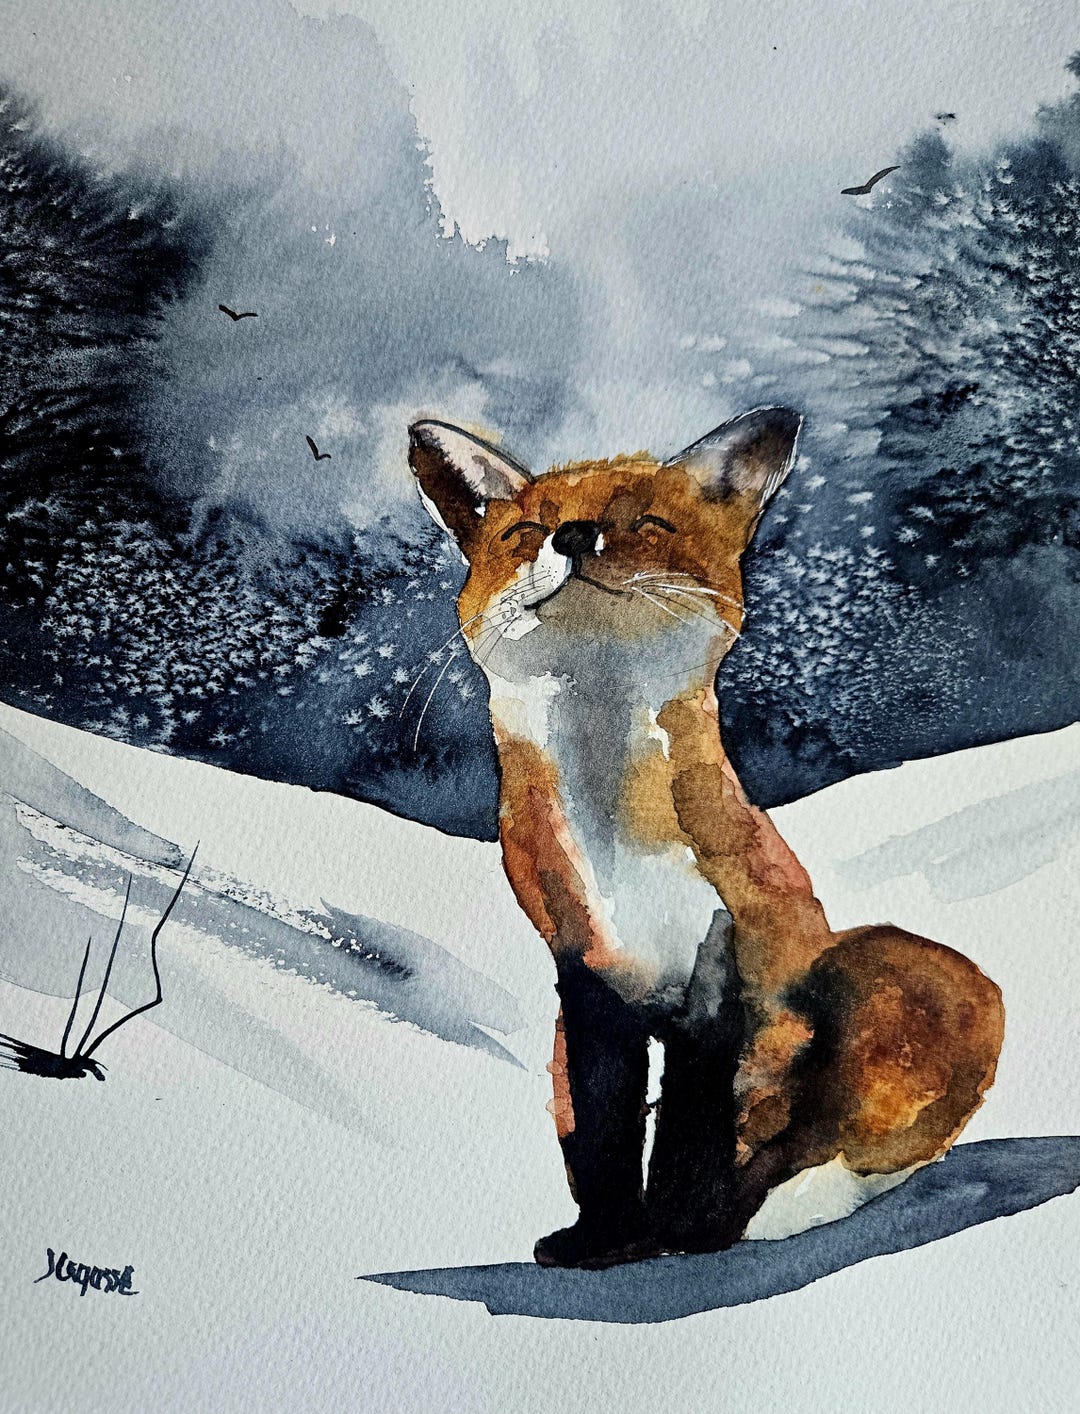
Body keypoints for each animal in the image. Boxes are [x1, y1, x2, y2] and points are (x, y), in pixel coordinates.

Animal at [408, 407, 1005, 1270]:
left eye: (646, 524)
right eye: (528, 531)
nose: (576, 536)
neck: (617, 844)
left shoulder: (719, 967)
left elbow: (693, 1129)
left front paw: (680, 1233)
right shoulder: (585, 975)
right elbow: (608, 1128)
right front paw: (607, 1241)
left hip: (882, 968)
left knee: (848, 1155)